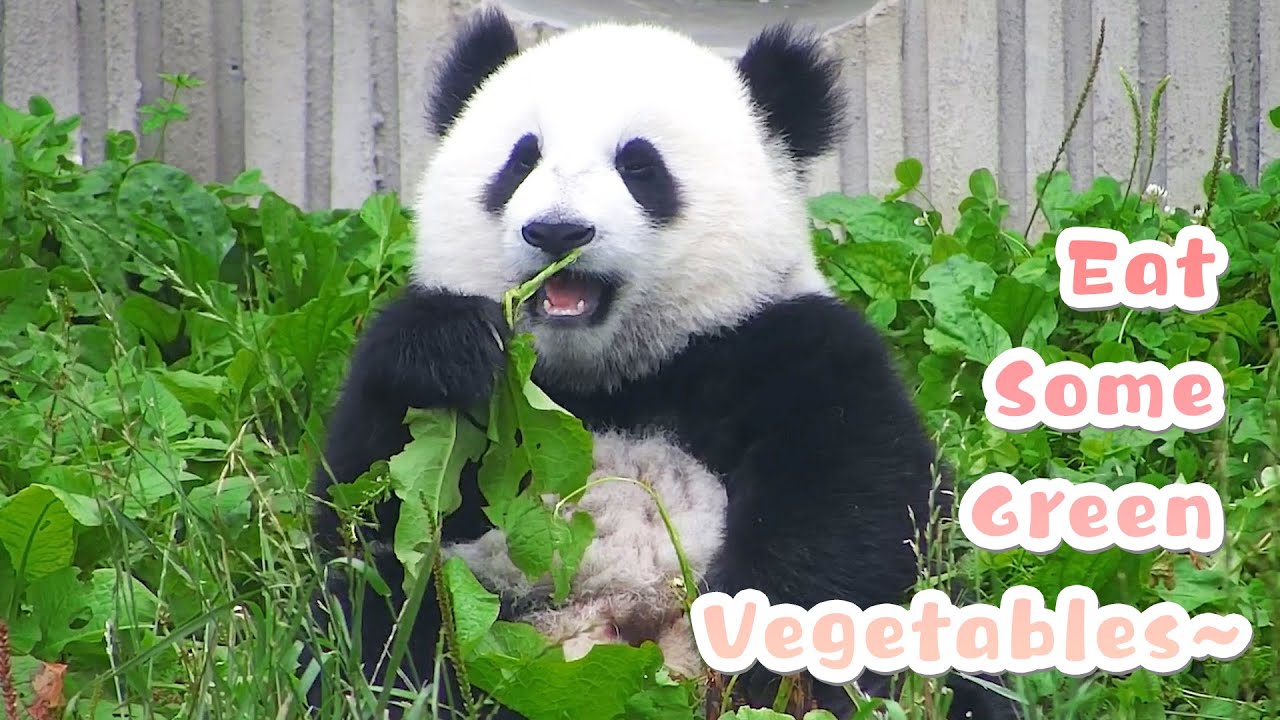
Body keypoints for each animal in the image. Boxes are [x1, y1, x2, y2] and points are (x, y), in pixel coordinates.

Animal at [310, 7, 1019, 720]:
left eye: (639, 165)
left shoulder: (784, 345)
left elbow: (856, 504)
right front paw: (451, 349)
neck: (611, 379)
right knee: (385, 631)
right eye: (522, 160)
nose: (558, 231)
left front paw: (757, 660)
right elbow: (362, 508)